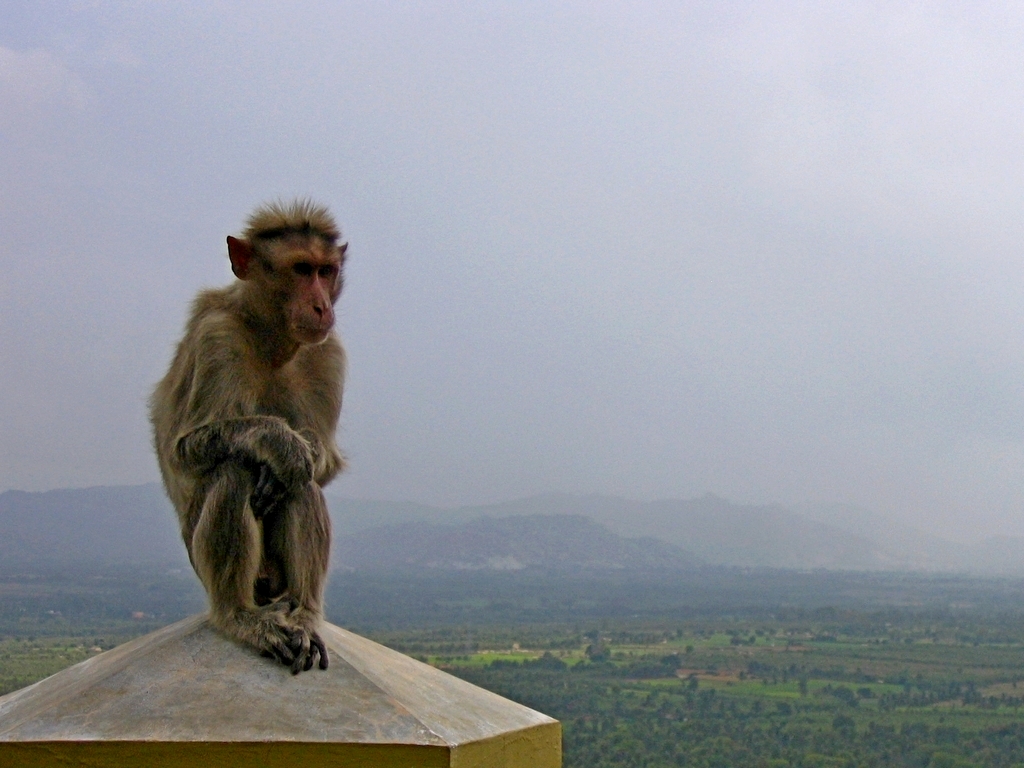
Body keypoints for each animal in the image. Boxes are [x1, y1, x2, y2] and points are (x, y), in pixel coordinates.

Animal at [150, 199, 347, 674]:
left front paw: (297, 454)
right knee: (235, 469)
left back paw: (305, 613)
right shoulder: (216, 339)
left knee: (300, 485)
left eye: (326, 271)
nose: (320, 306)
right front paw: (279, 443)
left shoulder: (328, 354)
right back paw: (238, 617)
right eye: (301, 269)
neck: (271, 336)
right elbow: (182, 449)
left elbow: (324, 462)